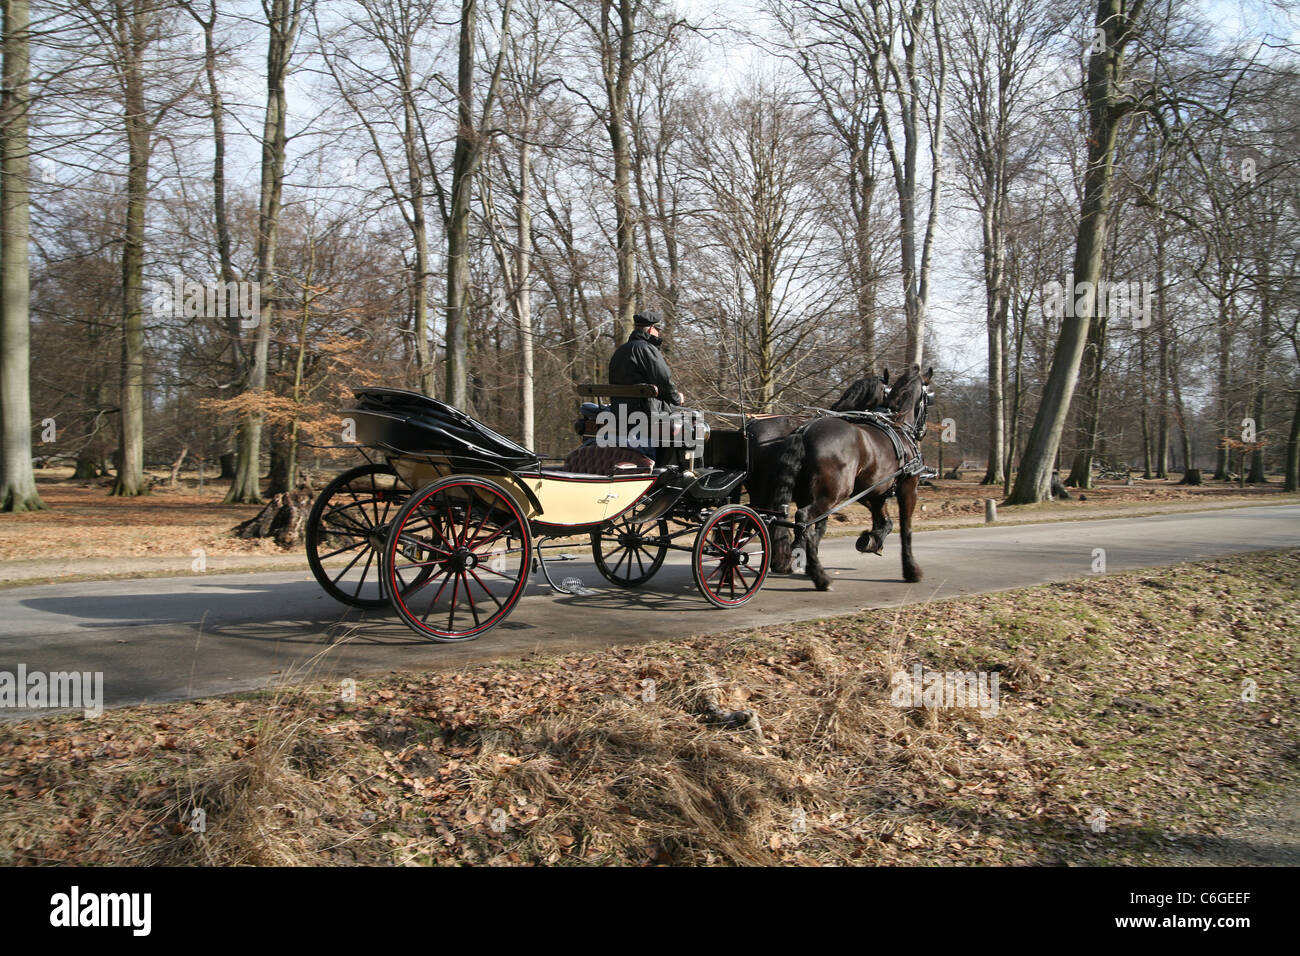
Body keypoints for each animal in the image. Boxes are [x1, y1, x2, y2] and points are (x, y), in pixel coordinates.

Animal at [769, 365, 934, 590]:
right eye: (928, 399)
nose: (922, 432)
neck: (898, 425)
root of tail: (804, 432)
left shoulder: (872, 492)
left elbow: (885, 522)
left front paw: (871, 541)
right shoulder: (908, 488)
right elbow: (905, 528)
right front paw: (911, 570)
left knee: (797, 523)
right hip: (833, 494)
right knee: (804, 519)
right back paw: (820, 577)